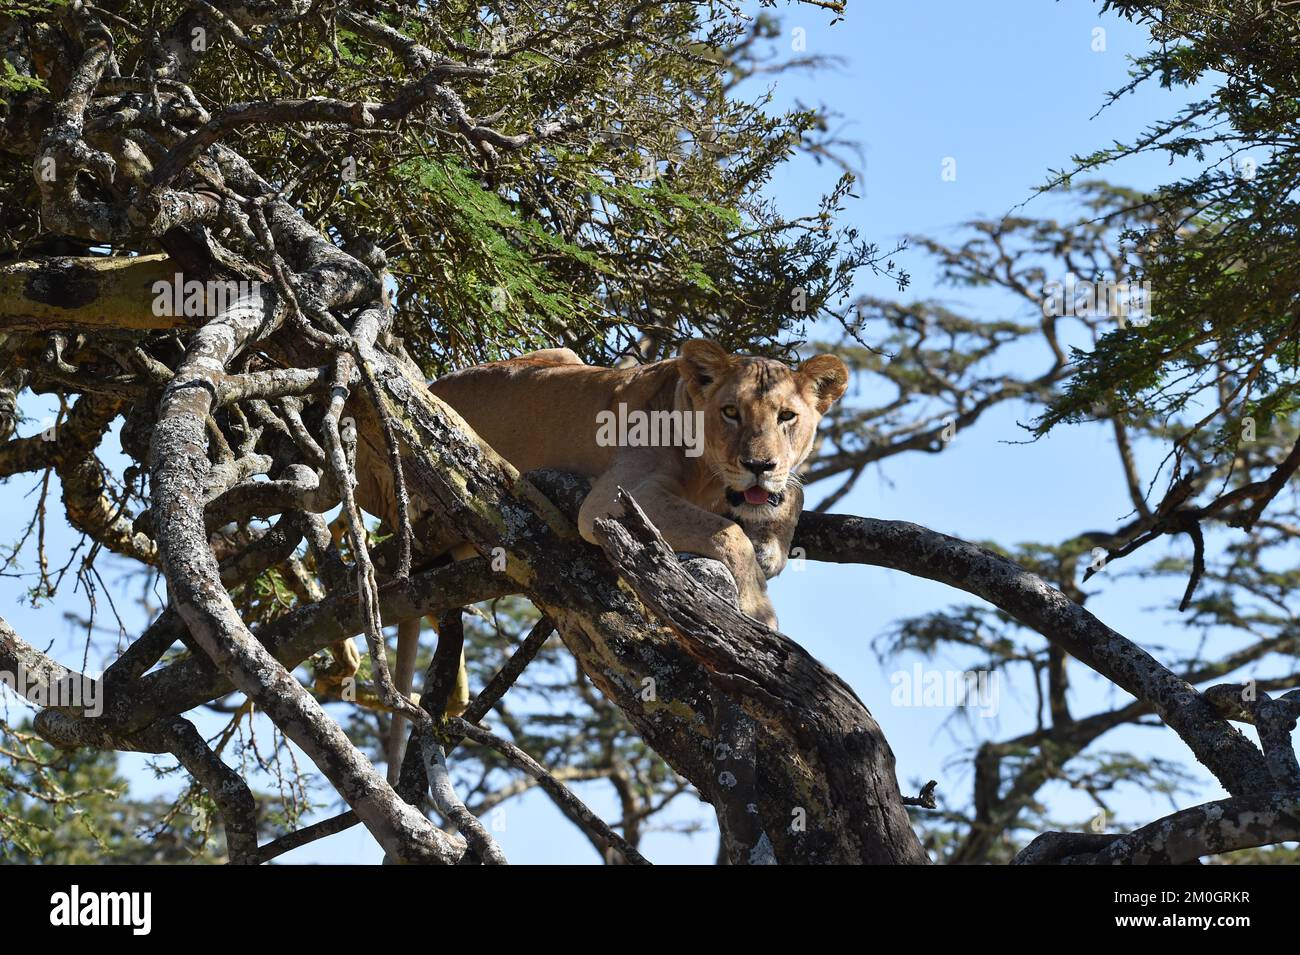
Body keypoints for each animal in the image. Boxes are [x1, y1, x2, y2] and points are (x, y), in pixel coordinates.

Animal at [350, 339, 848, 780]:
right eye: (731, 412)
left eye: (787, 417)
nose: (759, 466)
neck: (708, 475)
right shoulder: (612, 500)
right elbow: (728, 533)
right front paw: (759, 613)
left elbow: (792, 493)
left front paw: (773, 542)